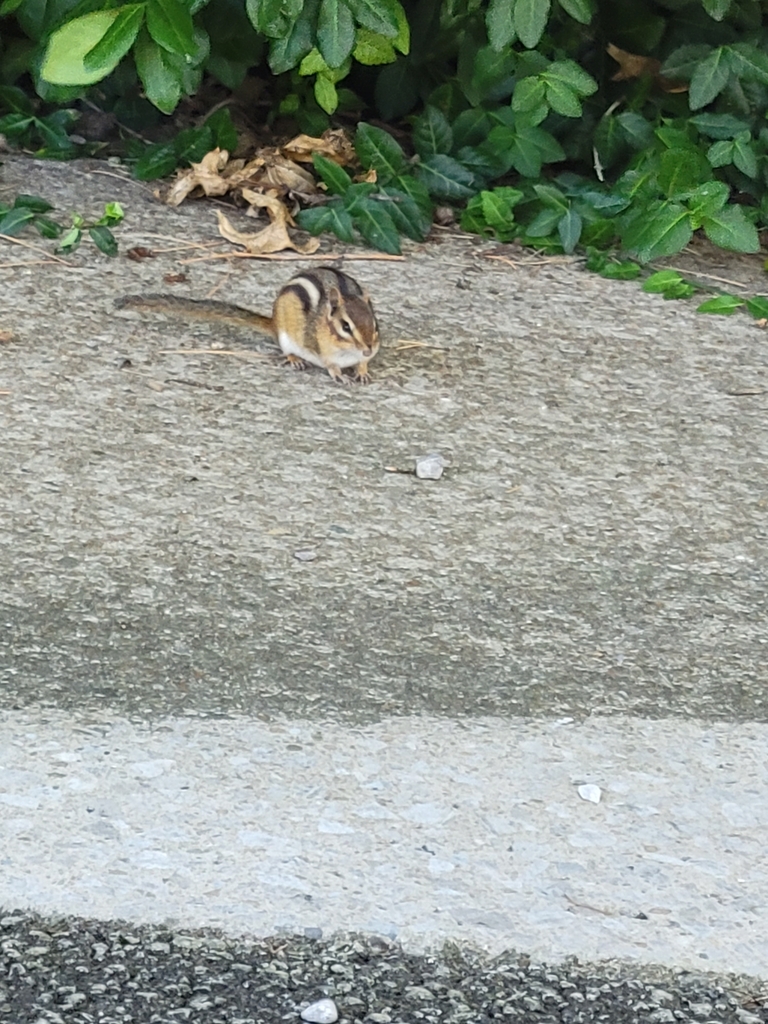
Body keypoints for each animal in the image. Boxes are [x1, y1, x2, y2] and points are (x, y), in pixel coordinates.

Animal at [116, 266, 380, 384]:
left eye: (375, 324)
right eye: (346, 326)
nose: (367, 349)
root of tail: (273, 321)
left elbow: (362, 364)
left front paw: (362, 371)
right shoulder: (320, 347)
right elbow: (330, 365)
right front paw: (340, 375)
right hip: (286, 337)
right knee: (287, 349)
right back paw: (295, 359)